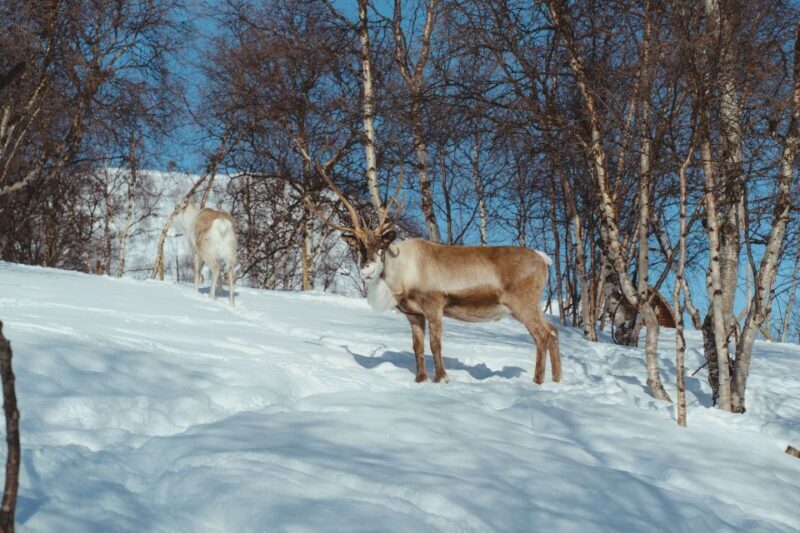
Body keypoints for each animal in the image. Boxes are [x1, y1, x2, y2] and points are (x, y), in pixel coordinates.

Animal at [309, 171, 561, 385]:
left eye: (381, 245)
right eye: (359, 246)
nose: (368, 269)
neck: (401, 277)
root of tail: (544, 259)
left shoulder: (434, 305)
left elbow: (435, 344)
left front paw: (441, 378)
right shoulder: (413, 314)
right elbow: (417, 347)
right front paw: (420, 379)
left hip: (523, 303)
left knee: (542, 335)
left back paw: (538, 381)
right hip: (530, 306)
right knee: (553, 331)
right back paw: (557, 380)